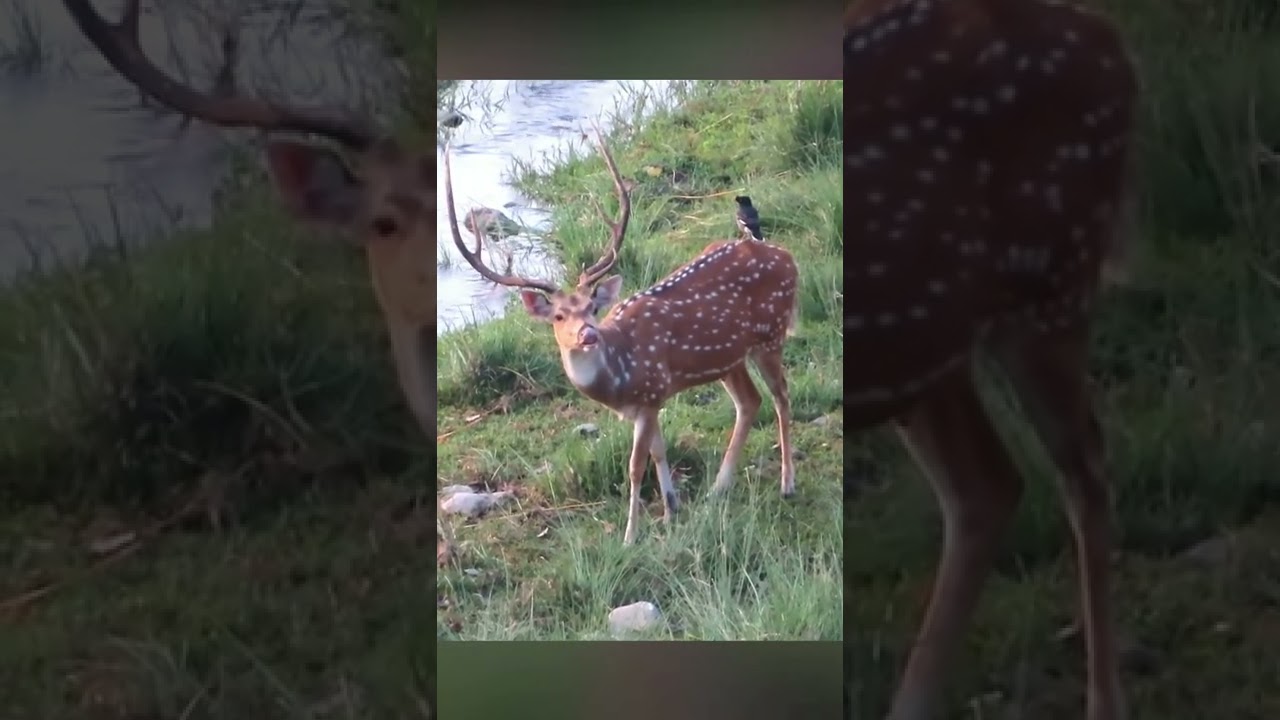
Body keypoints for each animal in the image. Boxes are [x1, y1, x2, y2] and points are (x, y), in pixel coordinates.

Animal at [442, 129, 801, 546]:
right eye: (559, 315)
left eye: (591, 308)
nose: (587, 335)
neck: (618, 376)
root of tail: (788, 256)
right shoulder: (652, 400)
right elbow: (659, 452)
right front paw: (672, 509)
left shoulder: (649, 393)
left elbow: (634, 465)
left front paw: (630, 536)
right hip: (729, 357)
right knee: (750, 401)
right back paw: (718, 489)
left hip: (771, 333)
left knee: (781, 395)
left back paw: (787, 484)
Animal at [843, 1, 1139, 719]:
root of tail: (1112, 42)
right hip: (925, 345)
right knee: (989, 485)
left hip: (1051, 285)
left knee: (1083, 467)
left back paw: (1104, 701)